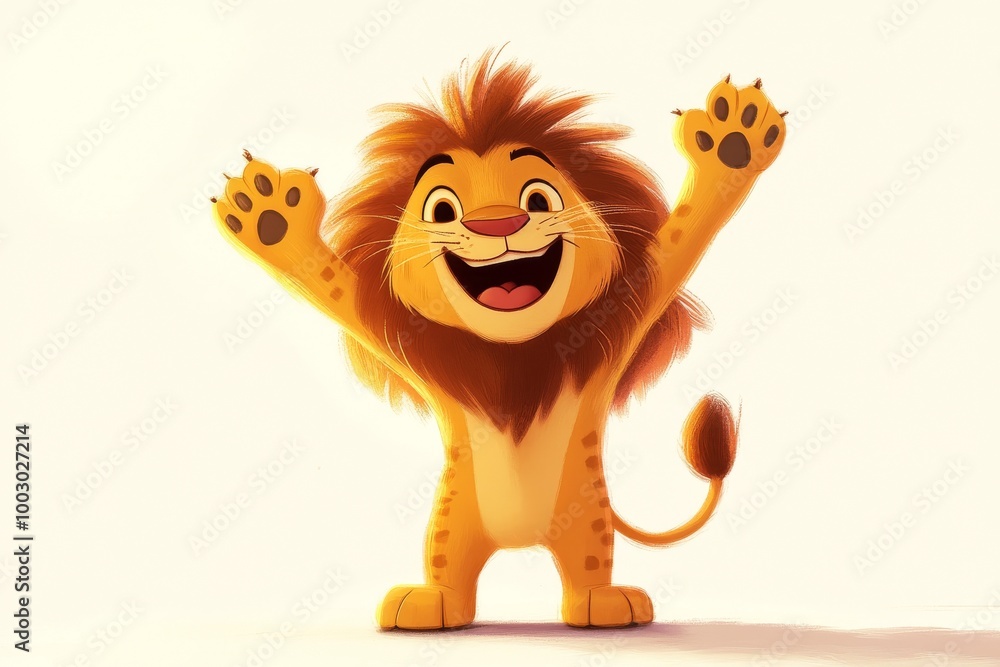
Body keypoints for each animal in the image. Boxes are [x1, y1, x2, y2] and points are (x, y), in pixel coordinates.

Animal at [211, 51, 784, 629]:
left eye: (539, 196)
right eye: (441, 209)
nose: (499, 223)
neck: (513, 355)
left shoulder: (634, 301)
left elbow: (684, 236)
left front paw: (732, 141)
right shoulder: (397, 334)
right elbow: (327, 282)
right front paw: (271, 219)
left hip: (586, 522)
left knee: (585, 570)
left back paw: (602, 604)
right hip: (453, 522)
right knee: (448, 568)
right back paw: (431, 604)